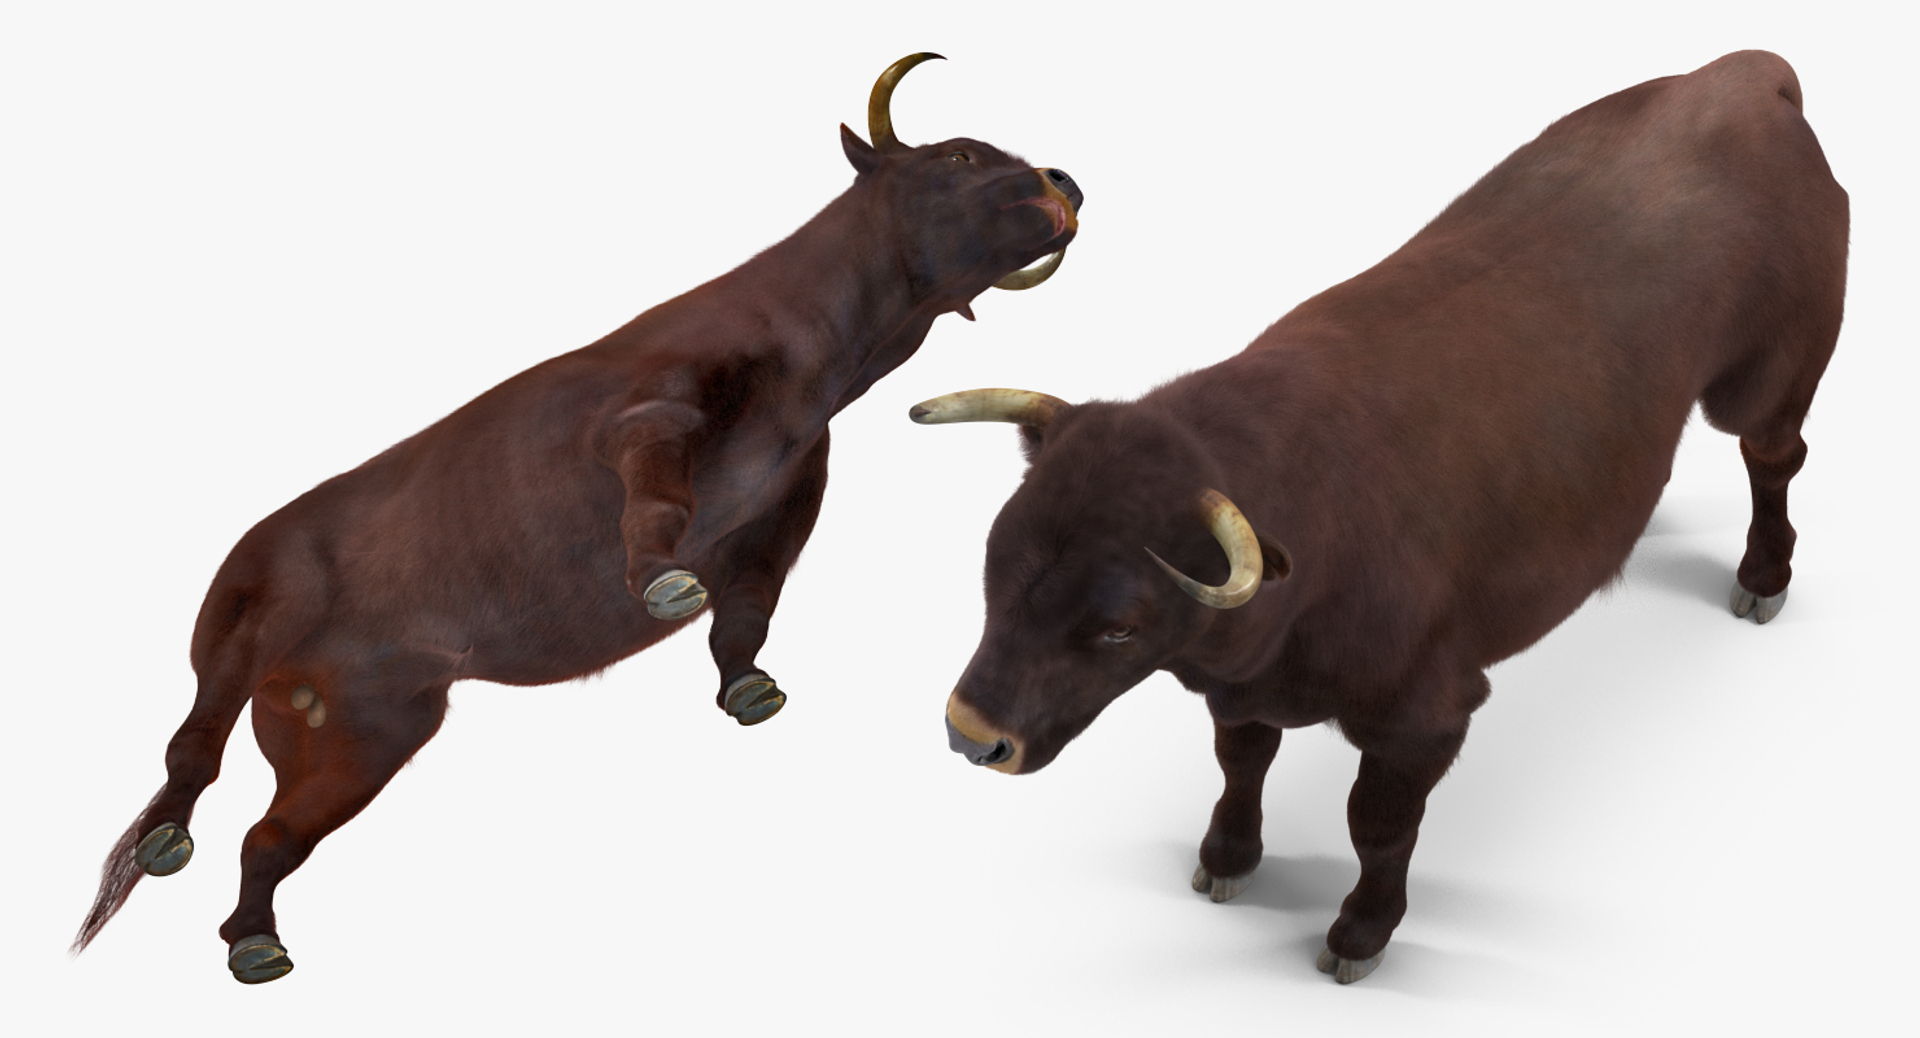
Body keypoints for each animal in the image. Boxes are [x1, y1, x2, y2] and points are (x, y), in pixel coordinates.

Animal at [74, 52, 1083, 984]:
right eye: (958, 153)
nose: (1063, 183)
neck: (810, 367)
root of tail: (247, 546)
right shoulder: (643, 419)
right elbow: (662, 507)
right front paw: (663, 582)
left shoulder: (784, 507)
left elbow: (749, 609)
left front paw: (749, 688)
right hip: (255, 623)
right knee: (192, 747)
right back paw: (167, 843)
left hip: (370, 724)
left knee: (272, 832)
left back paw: (256, 944)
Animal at [910, 50, 1843, 983]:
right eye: (993, 568)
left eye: (1118, 629)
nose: (971, 735)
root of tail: (1738, 75)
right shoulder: (1241, 691)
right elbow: (1242, 762)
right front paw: (1226, 861)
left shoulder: (1426, 717)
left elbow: (1379, 827)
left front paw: (1359, 935)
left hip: (1767, 376)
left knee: (1774, 457)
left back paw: (1763, 579)